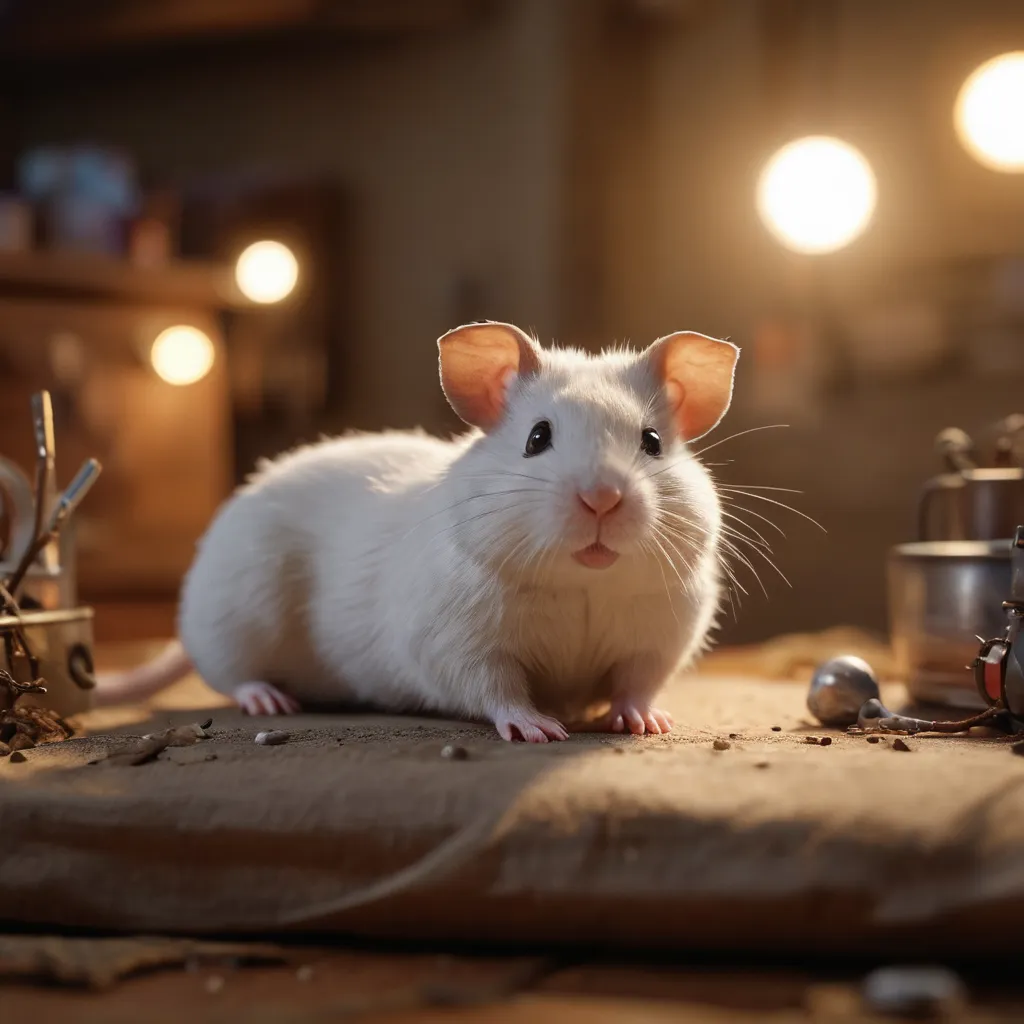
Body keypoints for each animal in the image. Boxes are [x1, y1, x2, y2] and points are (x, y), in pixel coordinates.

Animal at [95, 321, 739, 742]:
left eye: (651, 442)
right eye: (537, 438)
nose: (602, 498)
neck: (583, 583)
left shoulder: (656, 640)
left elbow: (637, 684)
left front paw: (643, 720)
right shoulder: (460, 646)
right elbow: (496, 691)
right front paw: (536, 726)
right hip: (236, 621)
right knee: (231, 676)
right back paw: (268, 697)